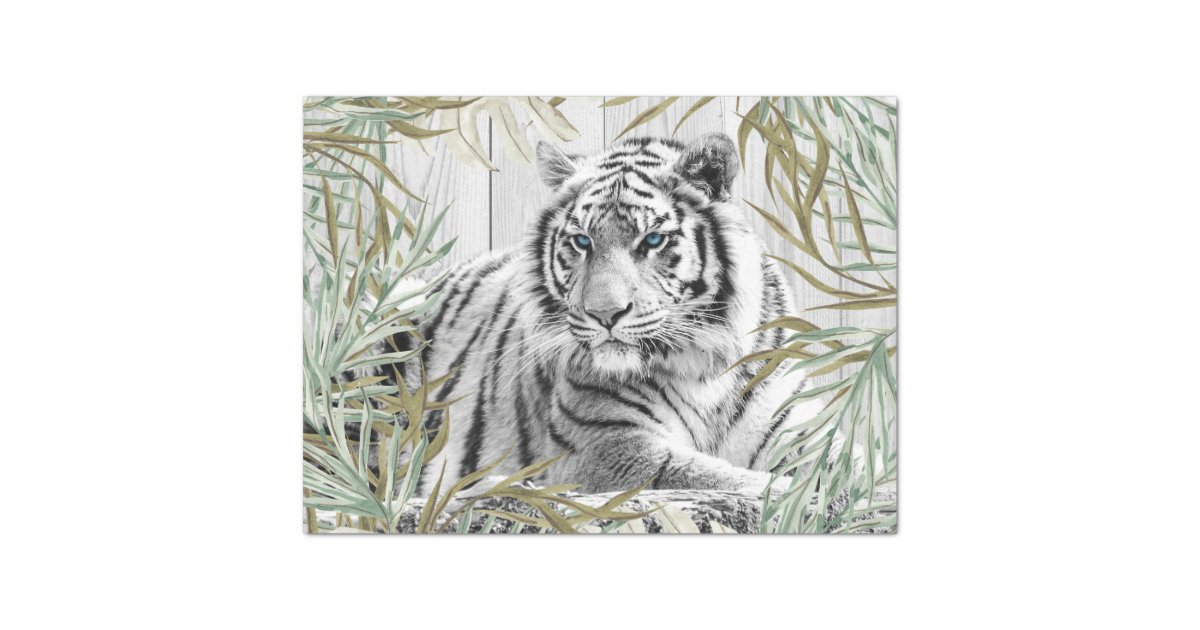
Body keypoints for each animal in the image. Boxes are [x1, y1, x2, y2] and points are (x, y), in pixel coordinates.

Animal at [390, 133, 824, 496]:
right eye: (582, 241)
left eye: (653, 239)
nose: (605, 314)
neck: (704, 370)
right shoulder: (605, 444)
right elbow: (713, 475)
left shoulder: (795, 423)